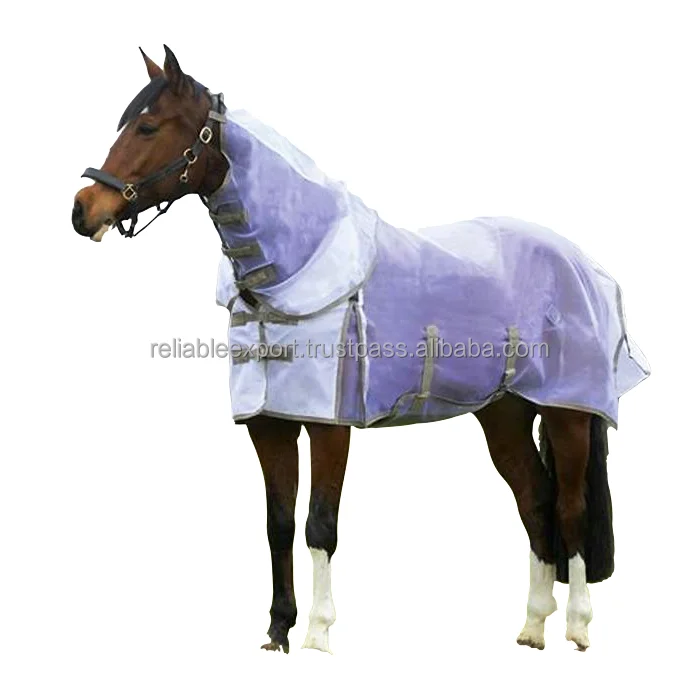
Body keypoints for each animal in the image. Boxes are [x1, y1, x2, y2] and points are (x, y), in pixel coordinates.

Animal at [72, 46, 650, 654]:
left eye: (148, 126)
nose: (83, 208)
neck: (286, 273)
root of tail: (585, 265)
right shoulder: (270, 426)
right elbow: (278, 524)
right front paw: (277, 629)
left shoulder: (330, 427)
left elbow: (319, 524)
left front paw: (318, 634)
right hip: (504, 415)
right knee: (534, 501)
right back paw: (533, 628)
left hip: (567, 412)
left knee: (569, 508)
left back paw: (577, 627)